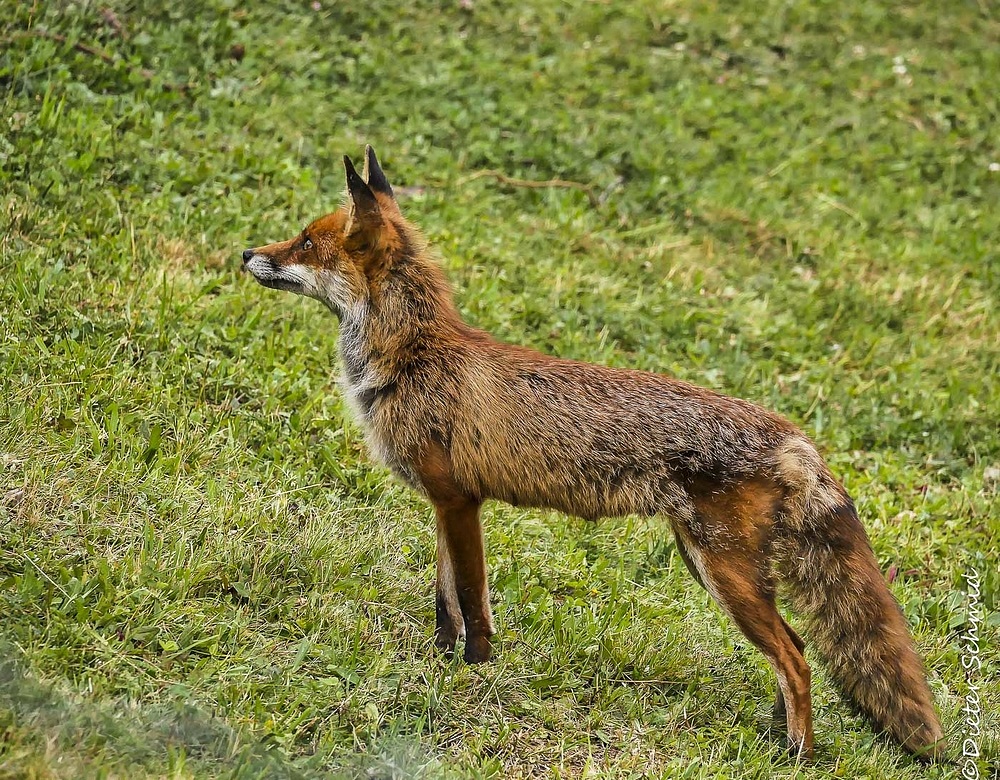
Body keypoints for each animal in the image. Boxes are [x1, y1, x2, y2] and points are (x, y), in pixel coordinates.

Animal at [241, 145, 946, 761]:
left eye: (305, 243)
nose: (248, 252)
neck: (413, 356)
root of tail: (791, 433)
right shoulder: (444, 504)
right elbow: (445, 607)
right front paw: (438, 665)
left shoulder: (461, 501)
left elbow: (472, 604)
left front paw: (473, 679)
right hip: (710, 566)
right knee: (793, 650)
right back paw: (777, 731)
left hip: (726, 574)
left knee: (797, 660)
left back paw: (798, 752)